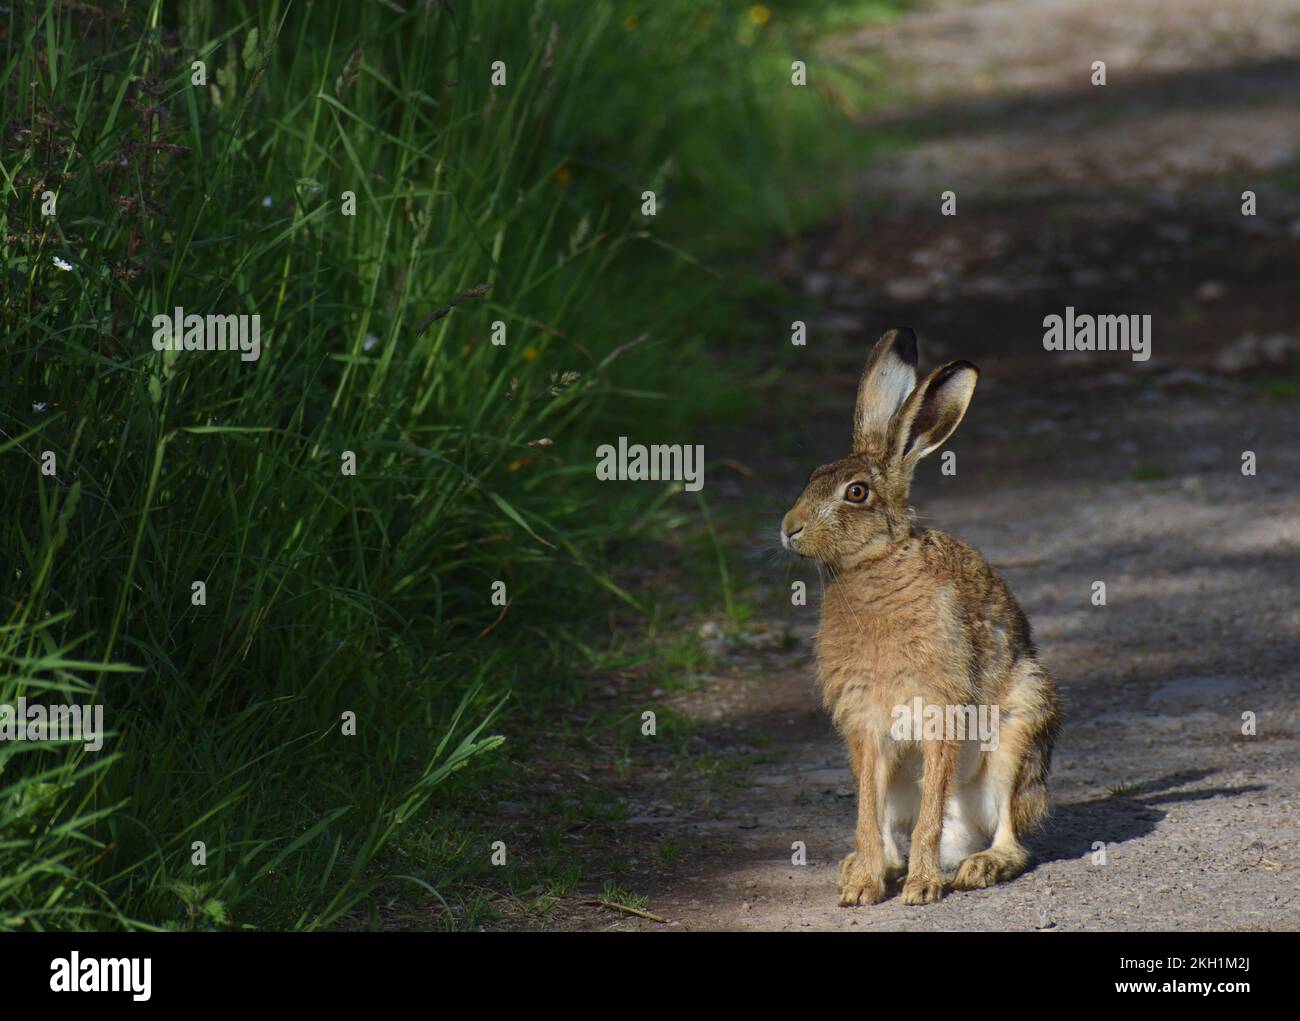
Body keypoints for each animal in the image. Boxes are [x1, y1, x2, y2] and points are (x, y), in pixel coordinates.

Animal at [780, 327, 1060, 906]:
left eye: (856, 492)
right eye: (813, 476)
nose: (788, 528)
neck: (875, 562)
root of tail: (966, 835)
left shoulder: (941, 706)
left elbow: (931, 809)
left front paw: (923, 889)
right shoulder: (864, 723)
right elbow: (866, 814)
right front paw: (863, 889)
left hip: (1020, 726)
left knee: (1009, 833)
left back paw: (975, 867)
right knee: (887, 822)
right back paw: (869, 869)